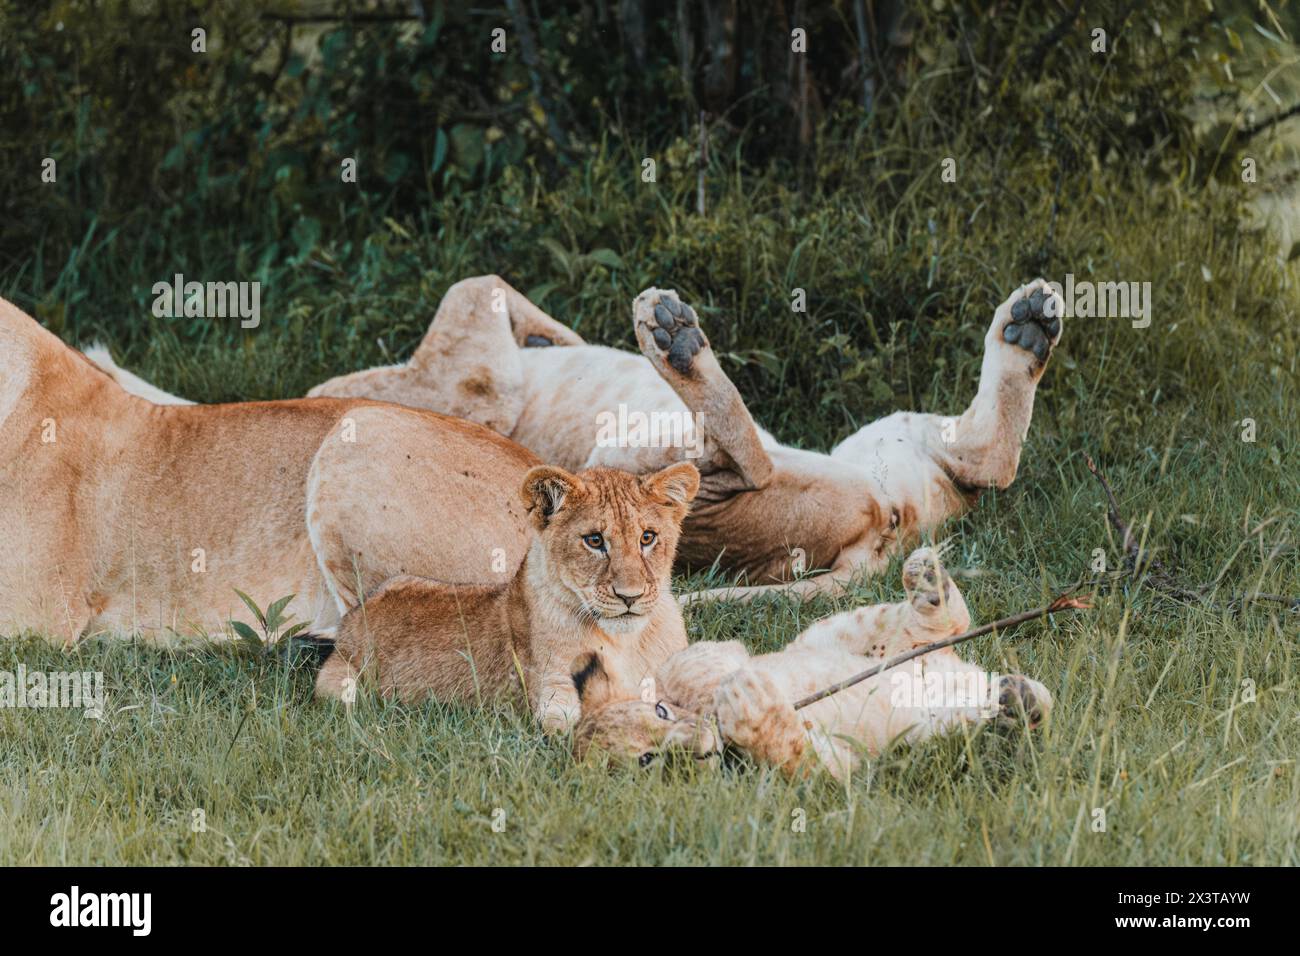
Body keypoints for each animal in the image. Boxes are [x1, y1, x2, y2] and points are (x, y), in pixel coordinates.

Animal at [91, 275, 1064, 603]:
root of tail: (881, 529)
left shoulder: (462, 362)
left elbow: (490, 290)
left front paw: (551, 334)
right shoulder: (466, 371)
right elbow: (478, 292)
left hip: (888, 446)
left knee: (985, 460)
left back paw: (1027, 325)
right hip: (649, 471)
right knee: (743, 457)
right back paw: (673, 336)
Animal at [316, 462, 699, 733]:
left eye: (647, 537)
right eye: (594, 541)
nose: (629, 596)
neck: (627, 642)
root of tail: (354, 615)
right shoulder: (555, 696)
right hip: (342, 685)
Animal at [570, 547, 1053, 781]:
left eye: (661, 711)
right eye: (647, 761)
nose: (703, 743)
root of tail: (966, 677)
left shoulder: (700, 652)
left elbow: (701, 671)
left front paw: (730, 693)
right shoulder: (839, 774)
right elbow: (800, 758)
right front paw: (747, 708)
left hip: (829, 632)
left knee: (945, 623)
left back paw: (927, 579)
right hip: (926, 739)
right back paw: (1015, 700)